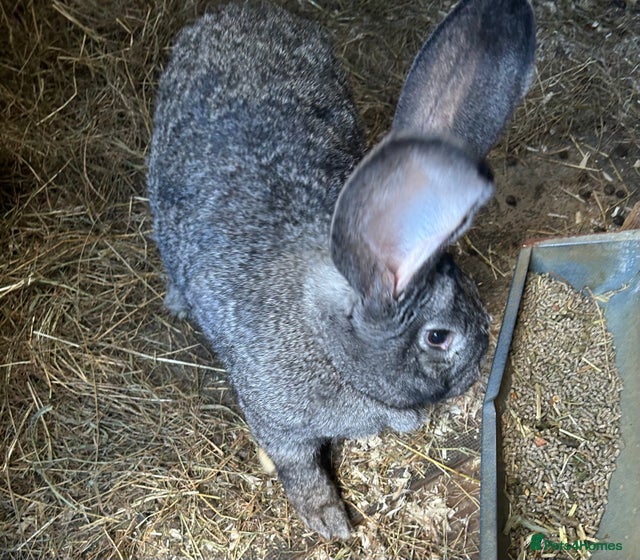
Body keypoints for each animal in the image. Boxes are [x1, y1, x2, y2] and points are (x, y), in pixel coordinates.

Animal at [147, 0, 536, 540]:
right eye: (439, 337)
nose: (479, 362)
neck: (328, 341)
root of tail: (240, 14)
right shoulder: (276, 419)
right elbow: (298, 466)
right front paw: (329, 520)